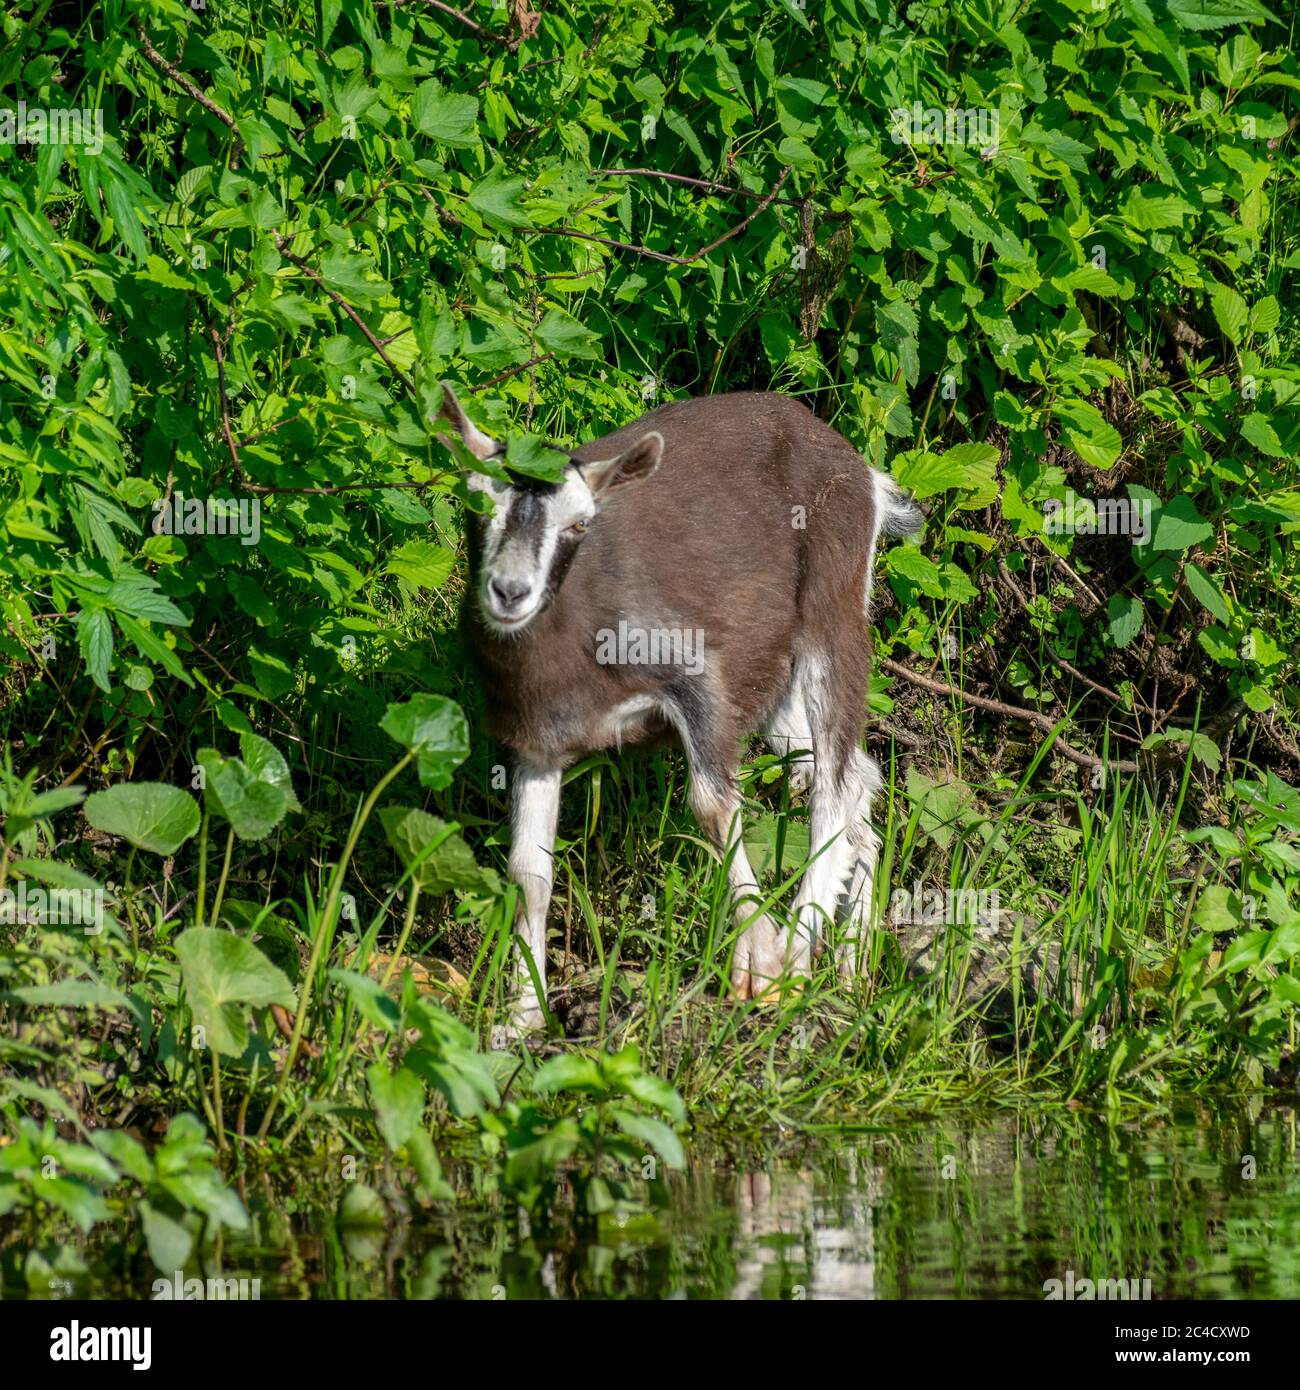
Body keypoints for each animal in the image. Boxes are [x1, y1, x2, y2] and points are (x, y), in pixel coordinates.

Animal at [437, 385, 922, 1034]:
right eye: (477, 505)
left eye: (579, 523)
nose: (510, 592)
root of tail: (861, 470)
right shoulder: (537, 739)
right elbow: (527, 873)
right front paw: (519, 1017)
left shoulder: (695, 678)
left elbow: (713, 807)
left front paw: (759, 963)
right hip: (772, 684)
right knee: (857, 777)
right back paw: (850, 963)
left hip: (834, 613)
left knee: (835, 786)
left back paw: (799, 955)